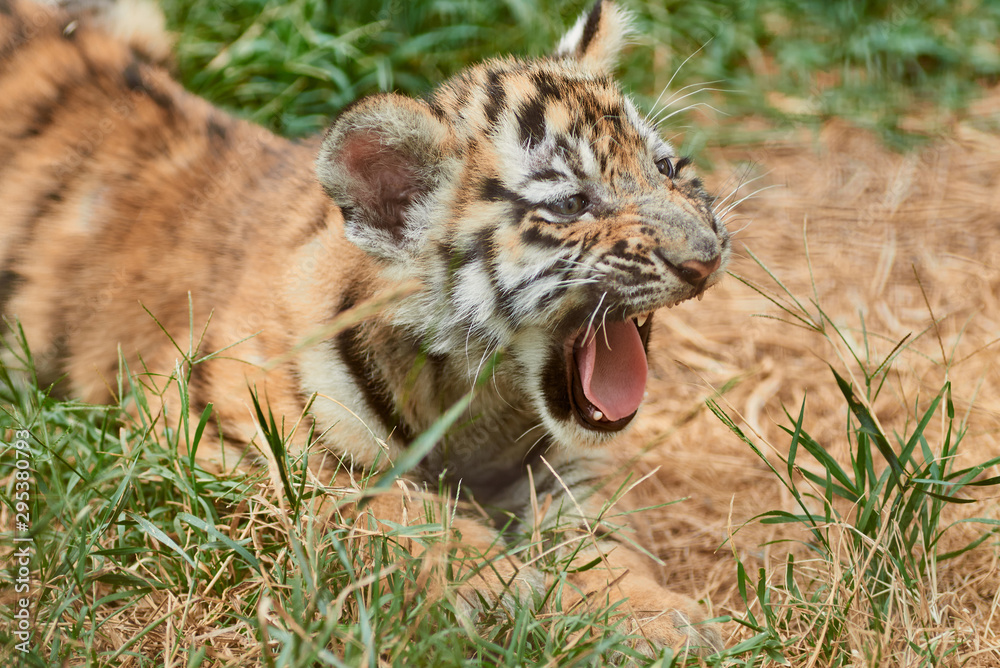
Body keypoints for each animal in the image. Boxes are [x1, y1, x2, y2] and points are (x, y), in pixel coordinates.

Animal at [0, 0, 730, 654]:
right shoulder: (217, 426)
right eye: (573, 204)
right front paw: (508, 591)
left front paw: (659, 618)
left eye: (666, 168)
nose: (705, 256)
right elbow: (393, 507)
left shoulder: (562, 464)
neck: (475, 392)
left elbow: (602, 536)